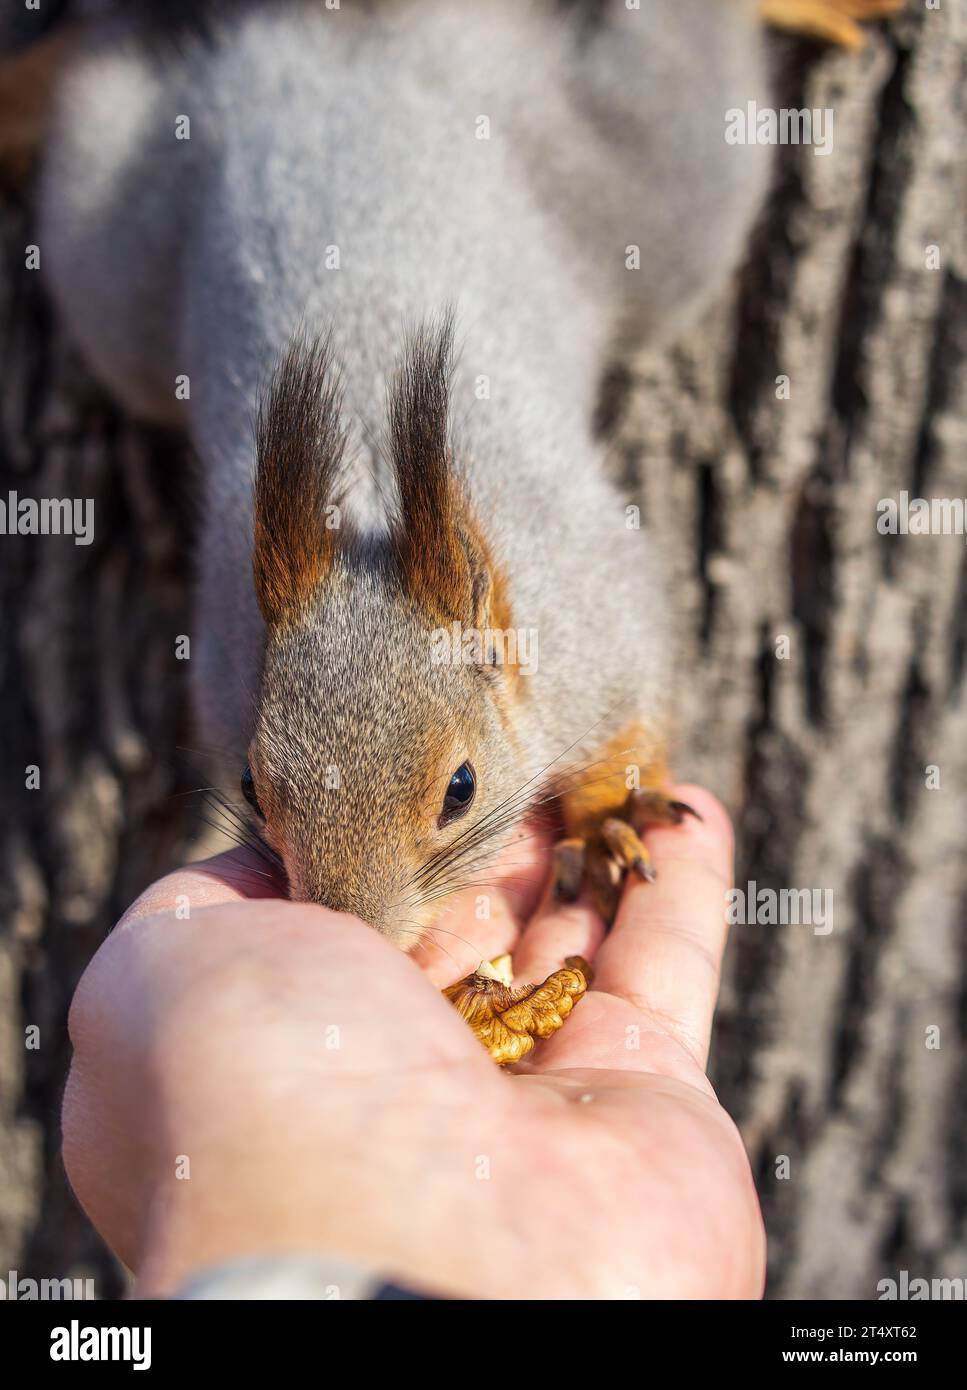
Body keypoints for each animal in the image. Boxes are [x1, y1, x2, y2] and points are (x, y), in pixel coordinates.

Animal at [10, 0, 898, 1059]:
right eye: (254, 787)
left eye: (461, 790)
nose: (352, 933)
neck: (370, 511)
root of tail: (354, 51)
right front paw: (487, 1010)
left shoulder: (603, 612)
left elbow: (635, 711)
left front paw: (599, 820)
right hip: (121, 256)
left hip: (655, 194)